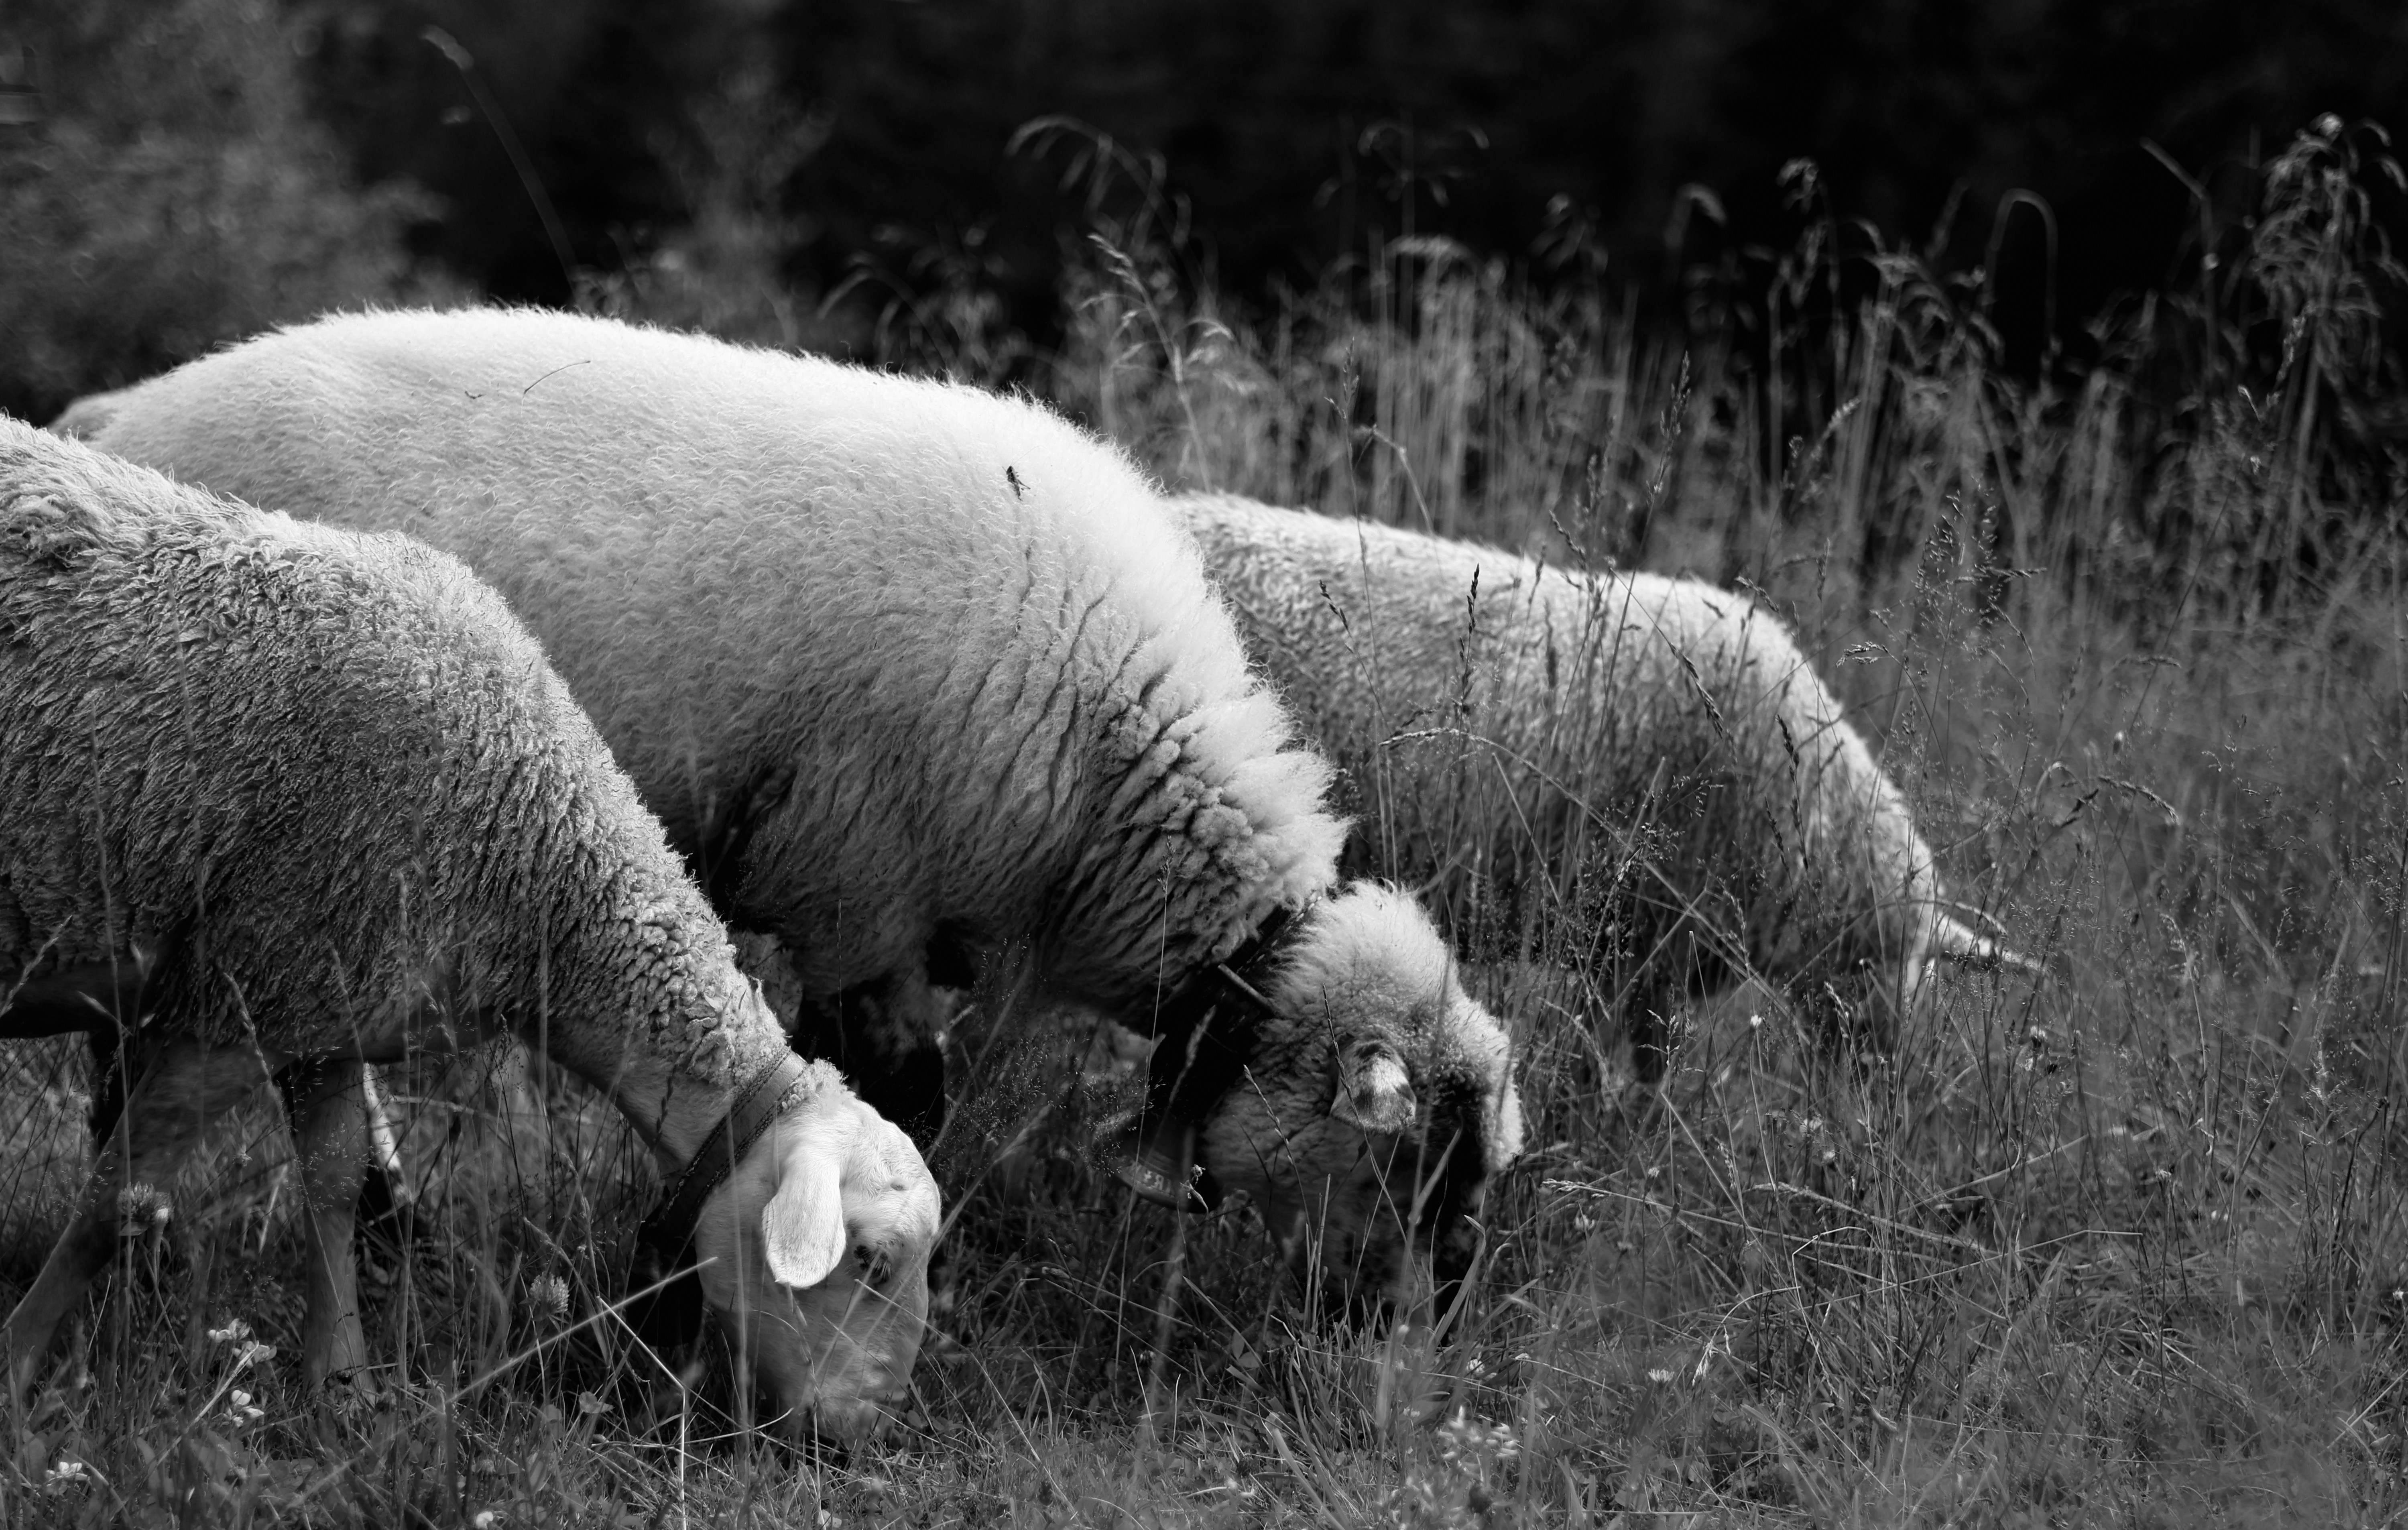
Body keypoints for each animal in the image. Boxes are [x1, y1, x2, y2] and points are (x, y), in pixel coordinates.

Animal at [0, 418, 940, 1441]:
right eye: (871, 1264)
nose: (868, 1432)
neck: (538, 852)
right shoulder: (244, 982)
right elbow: (116, 1199)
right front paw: (15, 1365)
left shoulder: (326, 996)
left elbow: (333, 1184)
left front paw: (343, 1386)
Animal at [56, 306, 1522, 1305]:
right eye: (1410, 1162)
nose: (1441, 1315)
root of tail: (124, 411)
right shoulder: (853, 890)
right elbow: (889, 1089)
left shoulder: (904, 914)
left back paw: (369, 1220)